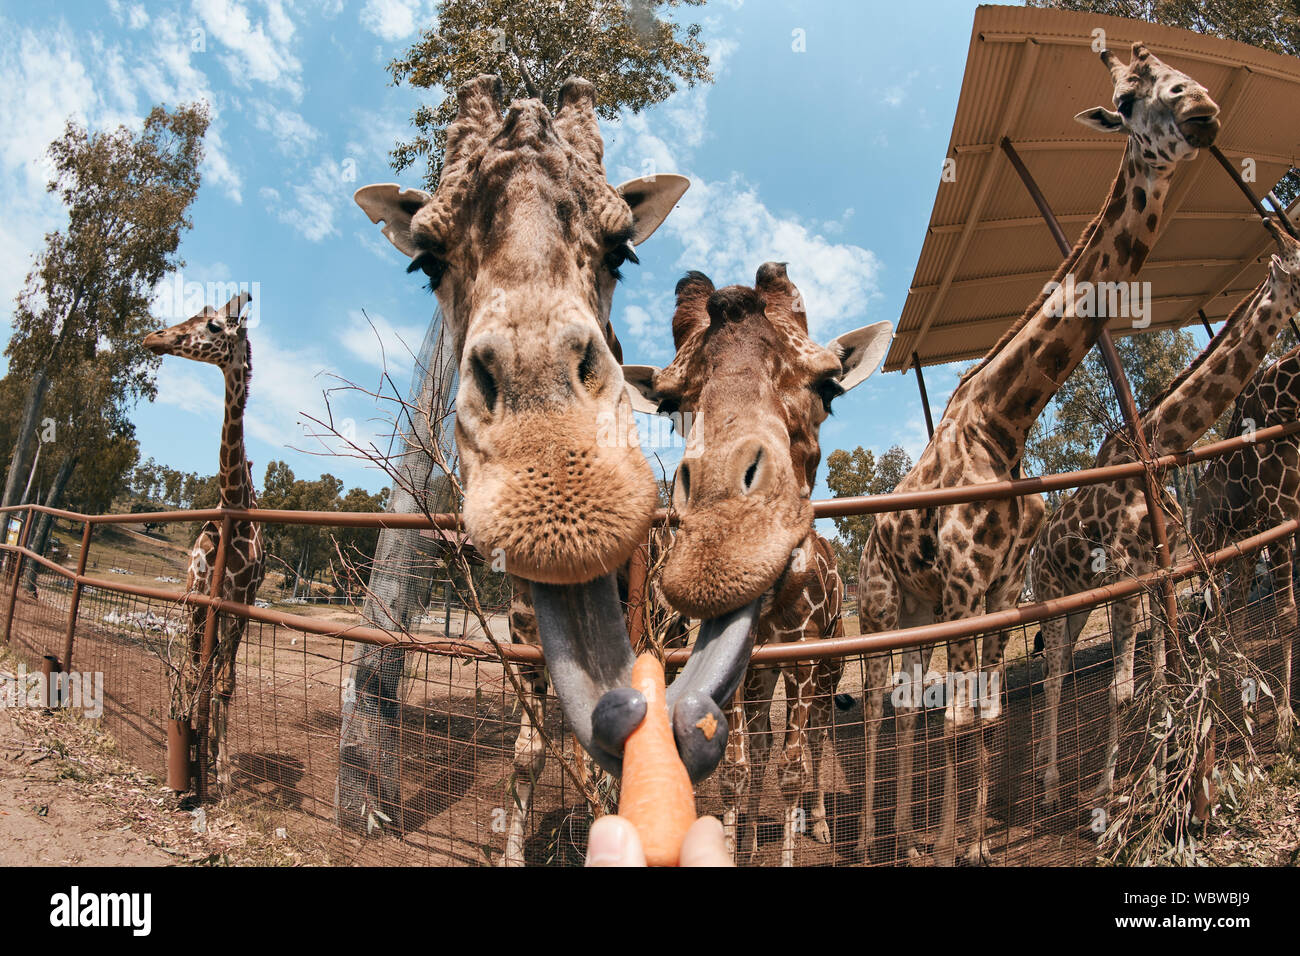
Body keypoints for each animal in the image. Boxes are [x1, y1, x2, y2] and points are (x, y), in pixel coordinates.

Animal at [624, 264, 892, 865]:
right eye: (671, 405)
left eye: (827, 388)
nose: (725, 552)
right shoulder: (744, 665)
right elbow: (739, 768)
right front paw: (733, 840)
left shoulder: (804, 653)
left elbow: (792, 768)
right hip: (765, 673)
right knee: (770, 742)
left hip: (829, 662)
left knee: (817, 736)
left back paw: (819, 824)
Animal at [855, 43, 1219, 865]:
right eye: (1128, 97)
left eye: (1177, 68)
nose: (1204, 111)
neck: (1006, 421)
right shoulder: (964, 586)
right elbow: (961, 720)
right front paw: (956, 848)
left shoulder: (997, 591)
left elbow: (985, 718)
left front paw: (975, 846)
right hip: (882, 607)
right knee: (879, 706)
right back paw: (866, 840)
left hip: (921, 608)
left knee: (905, 708)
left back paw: (903, 833)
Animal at [1031, 221, 1300, 808]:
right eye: (1299, 267)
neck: (1163, 442)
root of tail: (1035, 551)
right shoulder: (1127, 574)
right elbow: (1121, 690)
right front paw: (1108, 793)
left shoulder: (1160, 571)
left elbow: (1158, 673)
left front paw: (1159, 774)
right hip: (1050, 597)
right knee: (1054, 677)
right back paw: (1051, 784)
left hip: (1083, 601)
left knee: (1060, 671)